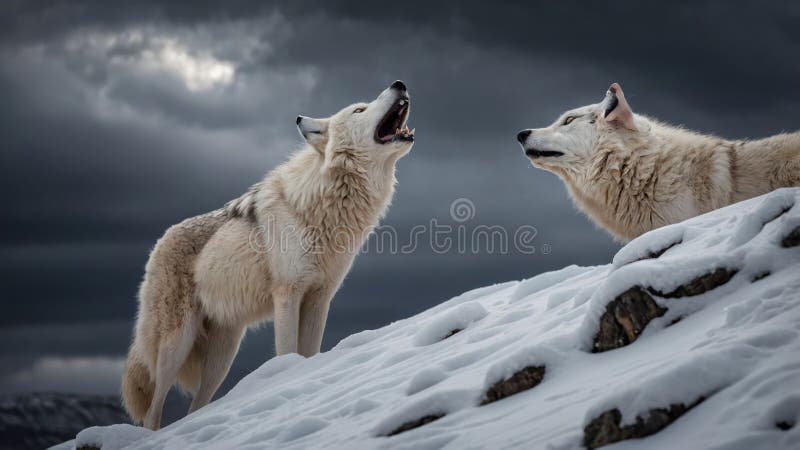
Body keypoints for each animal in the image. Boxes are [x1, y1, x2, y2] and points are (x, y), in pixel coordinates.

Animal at [122, 81, 416, 430]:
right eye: (359, 109)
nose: (399, 83)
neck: (322, 205)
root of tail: (158, 244)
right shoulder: (288, 295)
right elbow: (288, 353)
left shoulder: (319, 298)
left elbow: (310, 354)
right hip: (175, 344)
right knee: (153, 409)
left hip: (223, 355)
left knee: (196, 408)